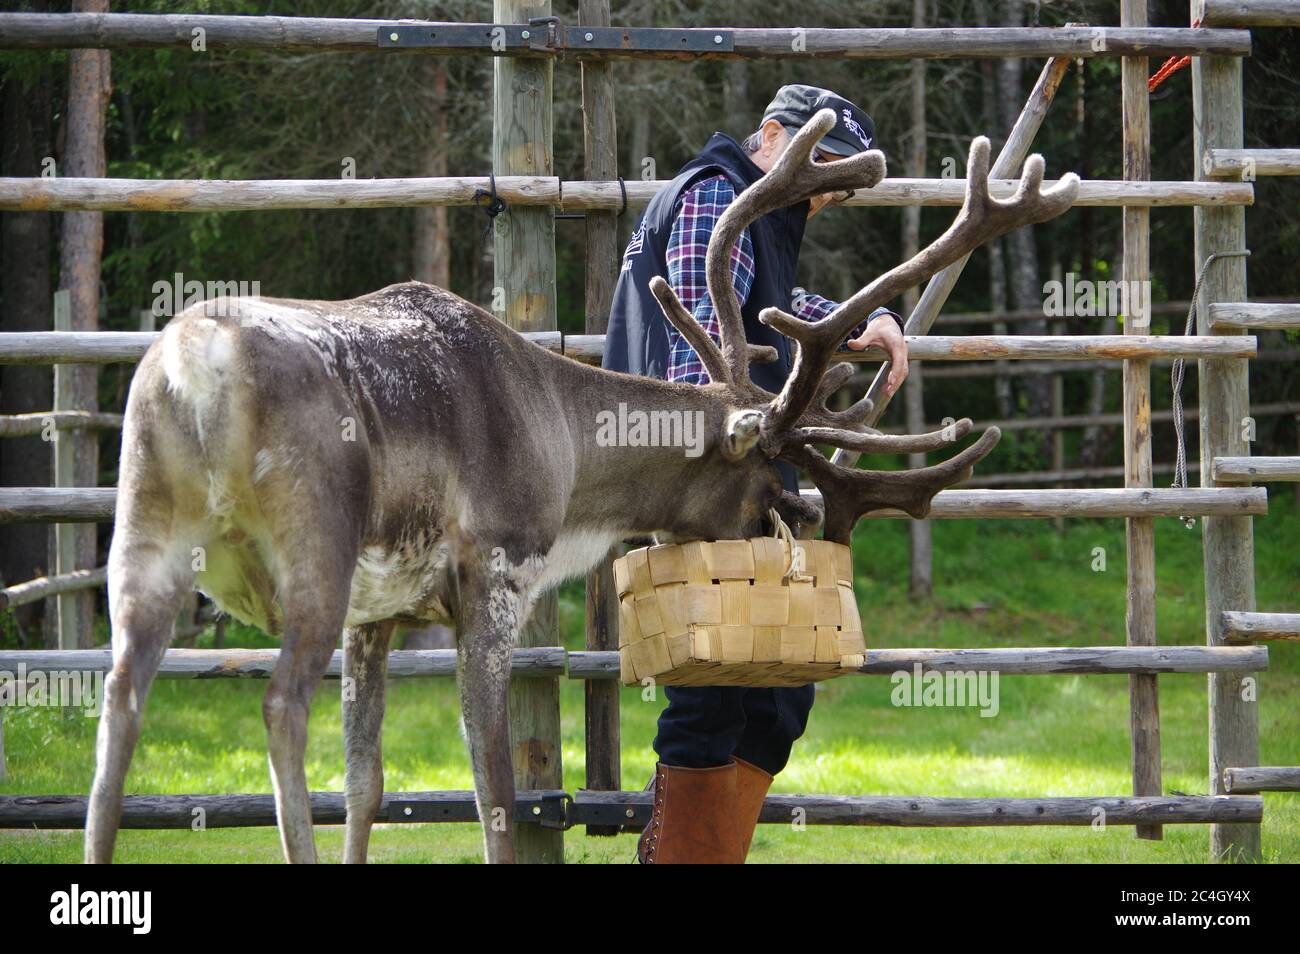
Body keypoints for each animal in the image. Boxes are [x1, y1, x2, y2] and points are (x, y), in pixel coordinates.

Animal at [86, 109, 1078, 864]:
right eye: (765, 474)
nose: (802, 512)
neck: (569, 473)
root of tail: (193, 369)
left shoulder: (381, 614)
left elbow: (366, 785)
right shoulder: (494, 574)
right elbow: (494, 788)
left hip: (144, 542)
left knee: (119, 705)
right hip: (314, 550)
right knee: (276, 705)